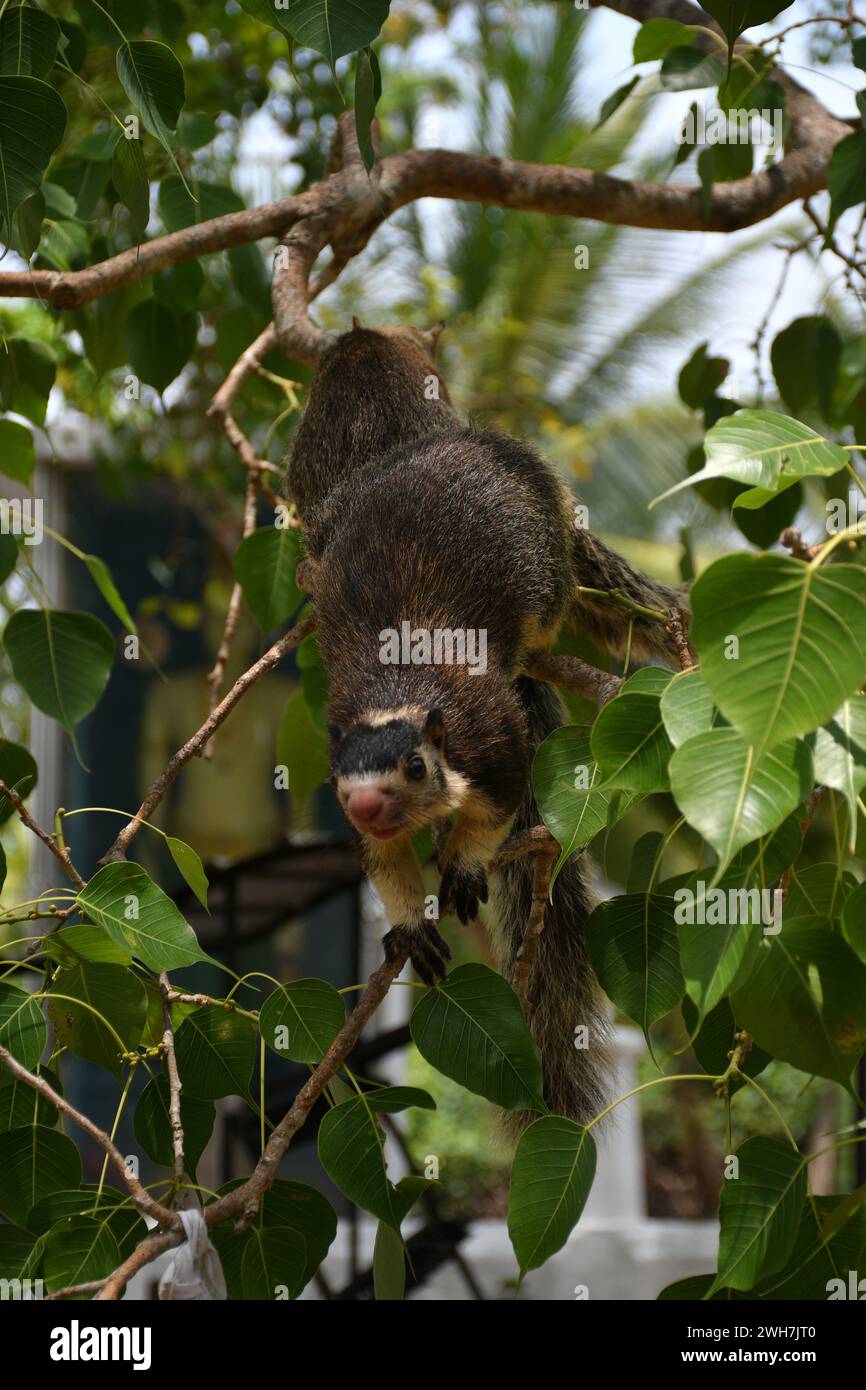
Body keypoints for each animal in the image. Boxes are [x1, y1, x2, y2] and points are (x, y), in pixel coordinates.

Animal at [287, 322, 688, 1124]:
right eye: (346, 786)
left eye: (415, 766)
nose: (370, 804)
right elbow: (381, 860)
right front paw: (410, 922)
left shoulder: (492, 730)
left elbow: (502, 797)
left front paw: (468, 859)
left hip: (542, 571)